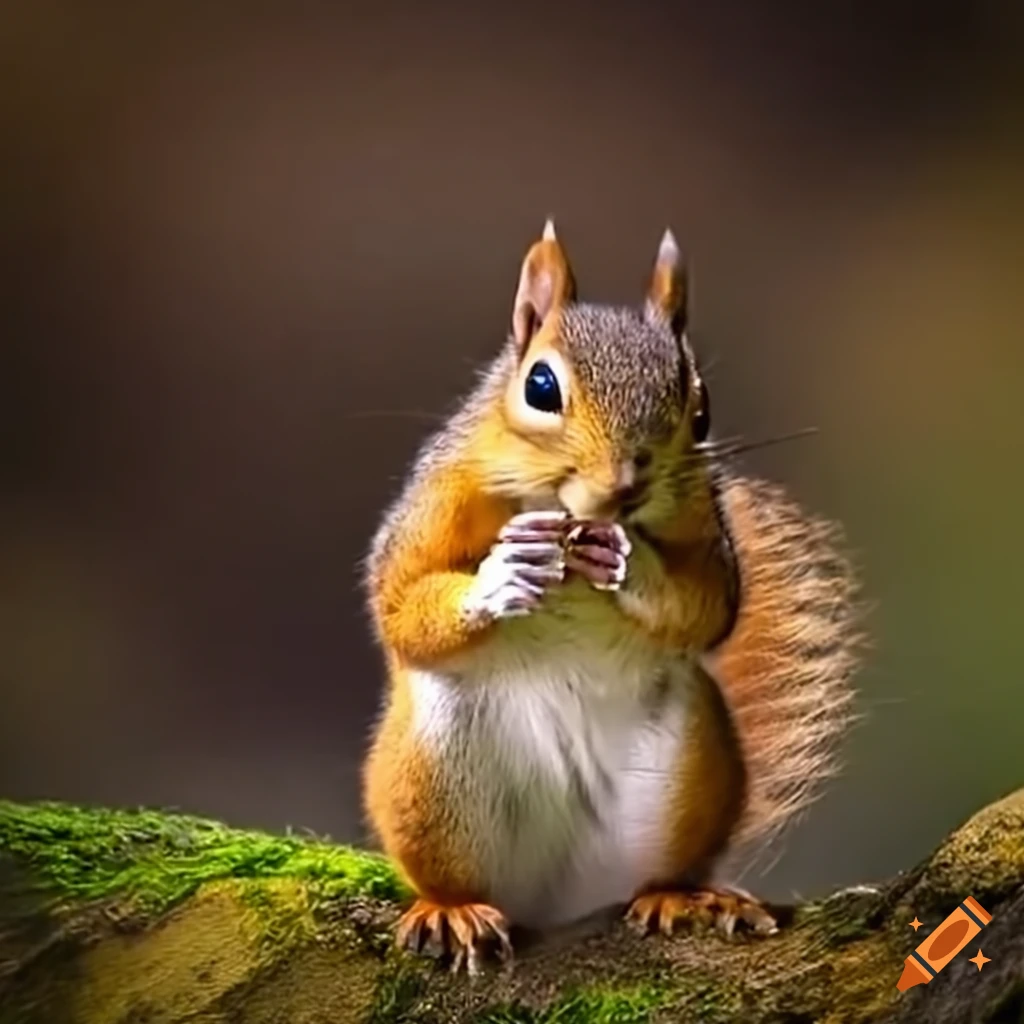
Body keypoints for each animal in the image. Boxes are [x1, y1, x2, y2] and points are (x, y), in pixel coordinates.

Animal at [362, 220, 861, 972]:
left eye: (701, 406)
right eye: (539, 385)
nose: (624, 486)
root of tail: (559, 902)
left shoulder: (705, 537)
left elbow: (709, 607)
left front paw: (628, 563)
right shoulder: (436, 501)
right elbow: (399, 600)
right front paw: (500, 575)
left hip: (686, 772)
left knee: (659, 870)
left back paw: (681, 898)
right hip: (432, 781)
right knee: (453, 876)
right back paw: (452, 912)